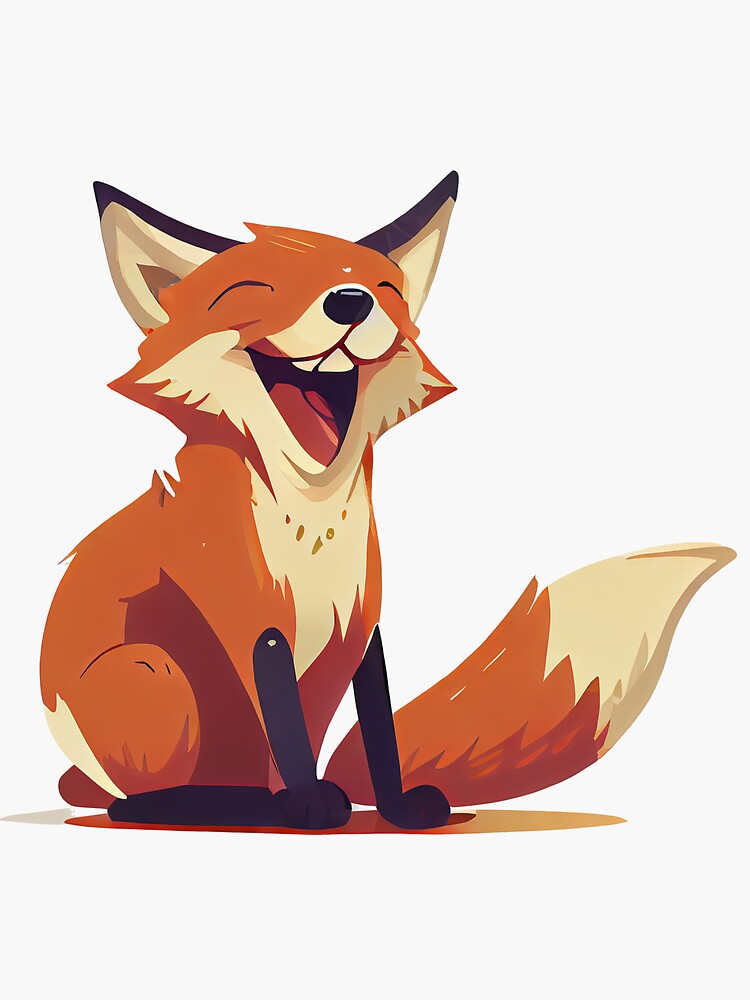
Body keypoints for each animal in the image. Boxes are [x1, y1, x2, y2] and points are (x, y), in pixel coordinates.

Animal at [41, 172, 734, 830]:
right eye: (254, 289)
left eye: (383, 287)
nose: (351, 301)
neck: (312, 530)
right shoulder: (255, 621)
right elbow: (287, 724)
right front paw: (308, 806)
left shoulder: (363, 618)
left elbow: (381, 729)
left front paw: (396, 808)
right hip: (150, 672)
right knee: (129, 800)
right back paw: (240, 804)